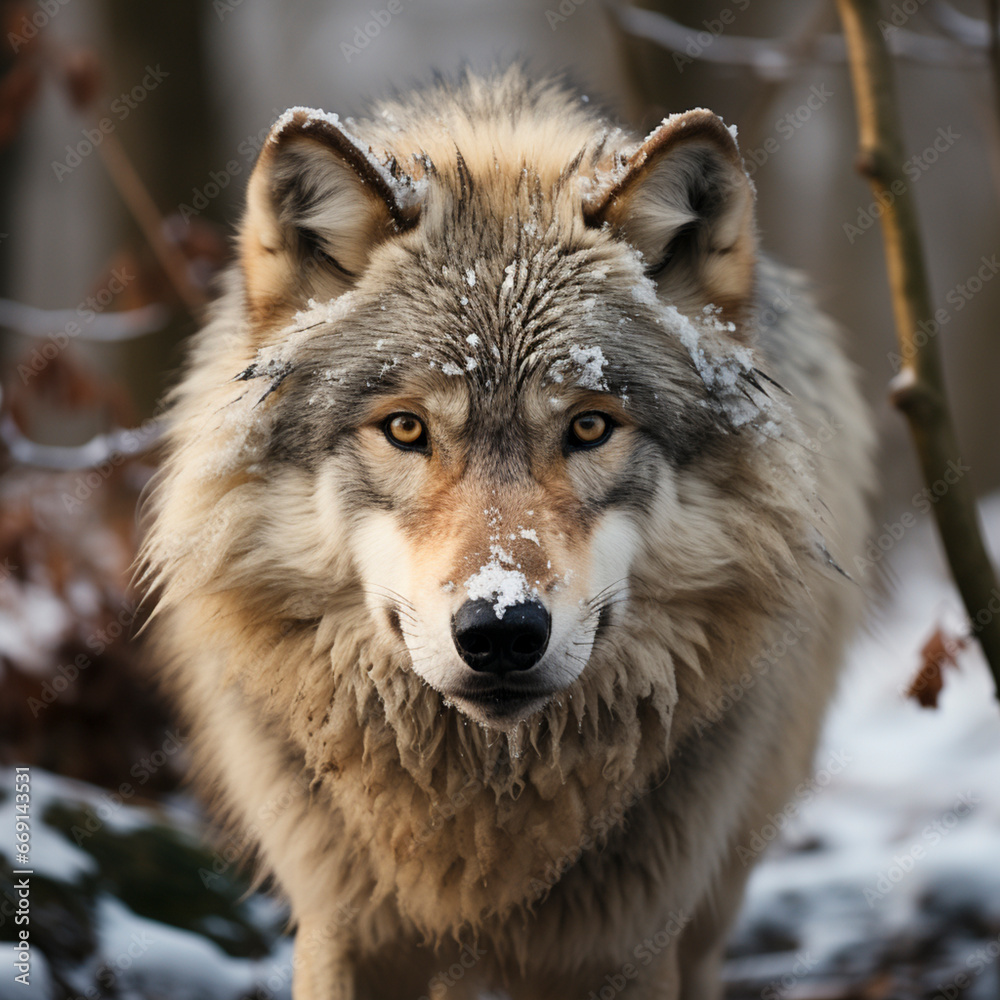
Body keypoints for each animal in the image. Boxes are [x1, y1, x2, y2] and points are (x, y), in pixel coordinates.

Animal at [140, 68, 873, 999]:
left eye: (590, 427)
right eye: (407, 429)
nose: (500, 631)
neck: (486, 804)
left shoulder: (628, 941)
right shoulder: (345, 925)